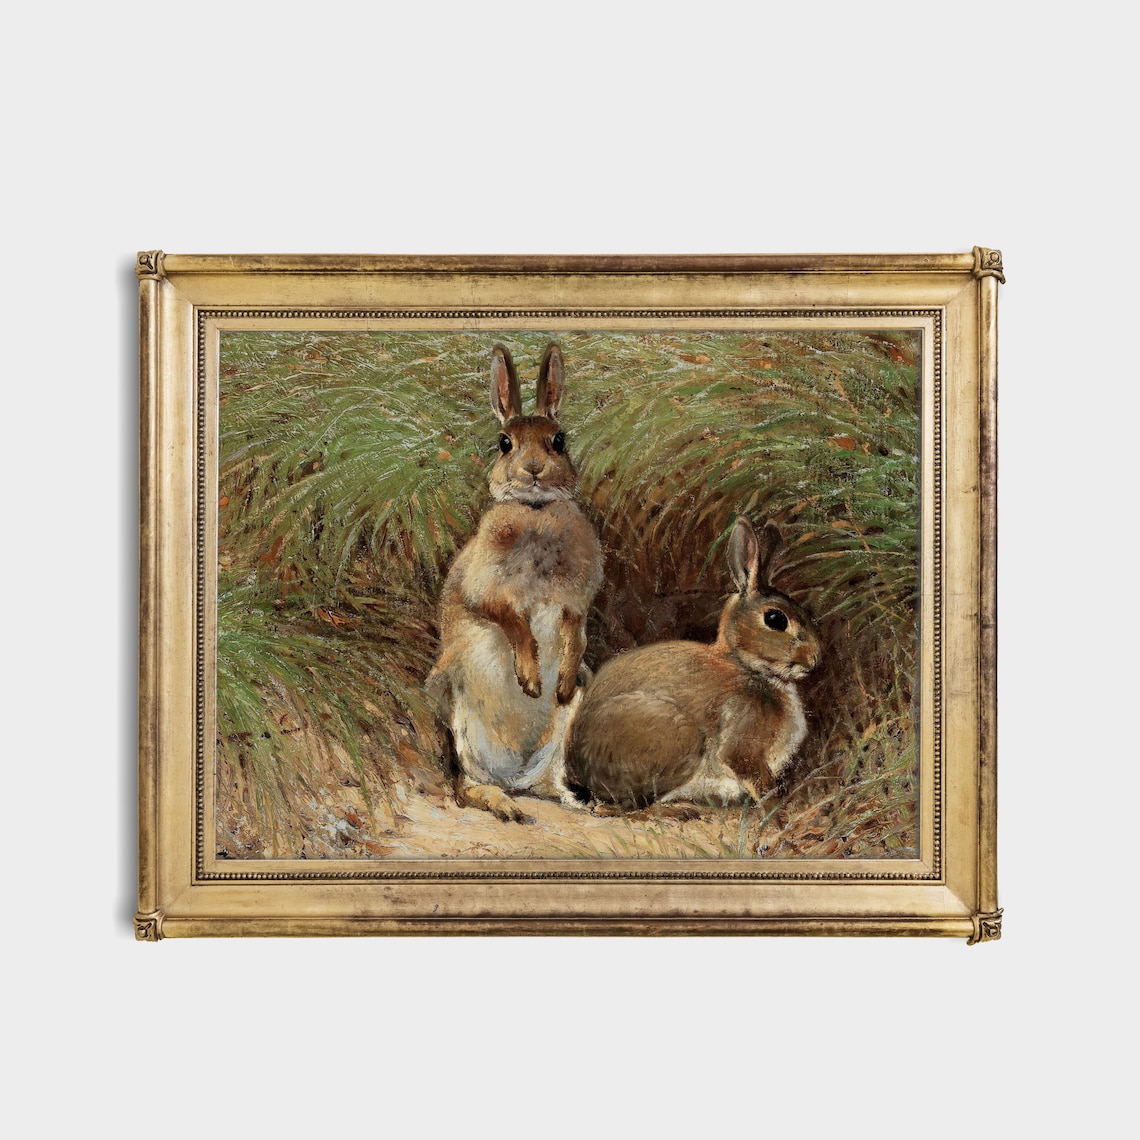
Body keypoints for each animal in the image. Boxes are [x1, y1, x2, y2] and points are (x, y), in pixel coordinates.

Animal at [426, 343, 603, 822]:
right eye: (504, 443)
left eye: (559, 440)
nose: (535, 469)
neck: (535, 512)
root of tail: (517, 773)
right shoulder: (485, 590)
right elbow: (513, 621)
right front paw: (530, 680)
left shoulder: (576, 601)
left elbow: (575, 632)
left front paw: (557, 683)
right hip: (460, 715)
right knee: (465, 784)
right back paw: (502, 803)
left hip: (564, 728)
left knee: (550, 781)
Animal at [565, 515, 821, 812]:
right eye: (776, 619)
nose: (814, 659)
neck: (746, 666)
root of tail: (578, 773)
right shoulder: (742, 743)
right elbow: (756, 778)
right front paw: (777, 808)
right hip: (681, 738)